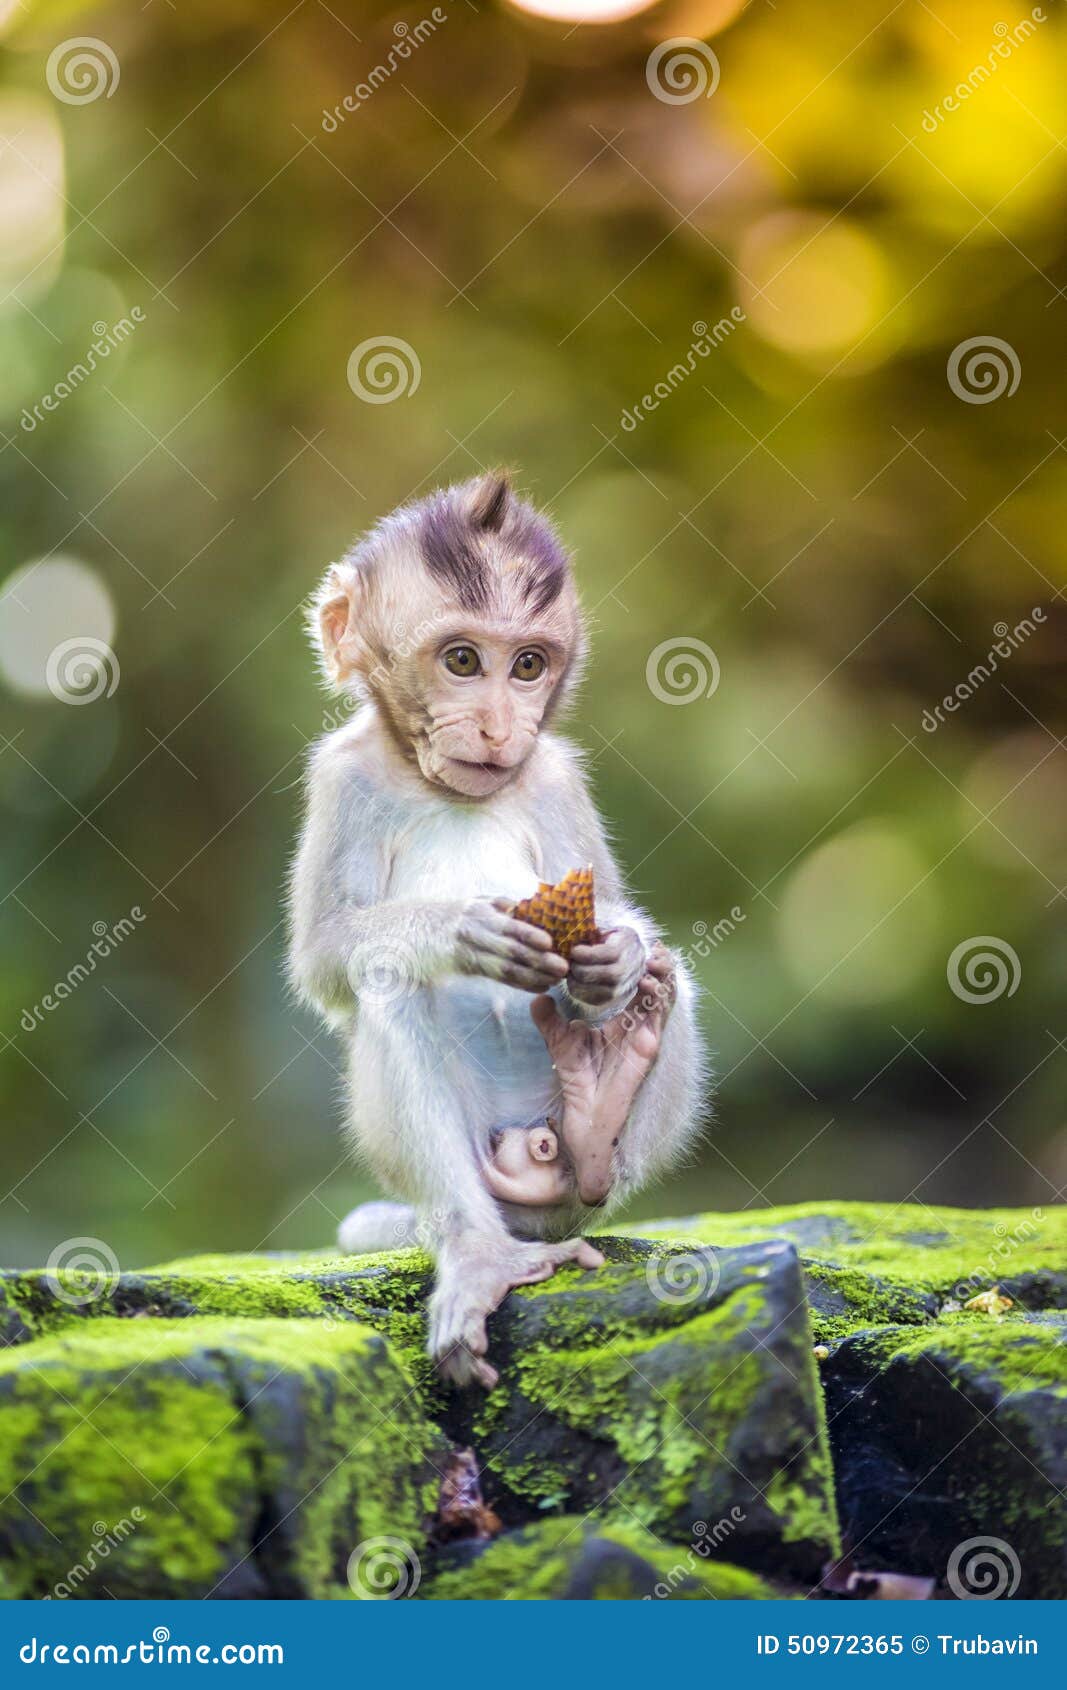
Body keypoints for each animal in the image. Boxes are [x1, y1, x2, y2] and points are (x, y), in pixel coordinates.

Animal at [288, 471, 706, 1388]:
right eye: (460, 661)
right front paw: (460, 931)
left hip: (598, 1173)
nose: (498, 727)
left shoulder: (554, 774)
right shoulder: (339, 776)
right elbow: (327, 958)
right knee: (388, 976)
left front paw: (616, 955)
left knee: (672, 983)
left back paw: (598, 1109)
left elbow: (612, 904)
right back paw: (476, 1251)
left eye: (526, 666)